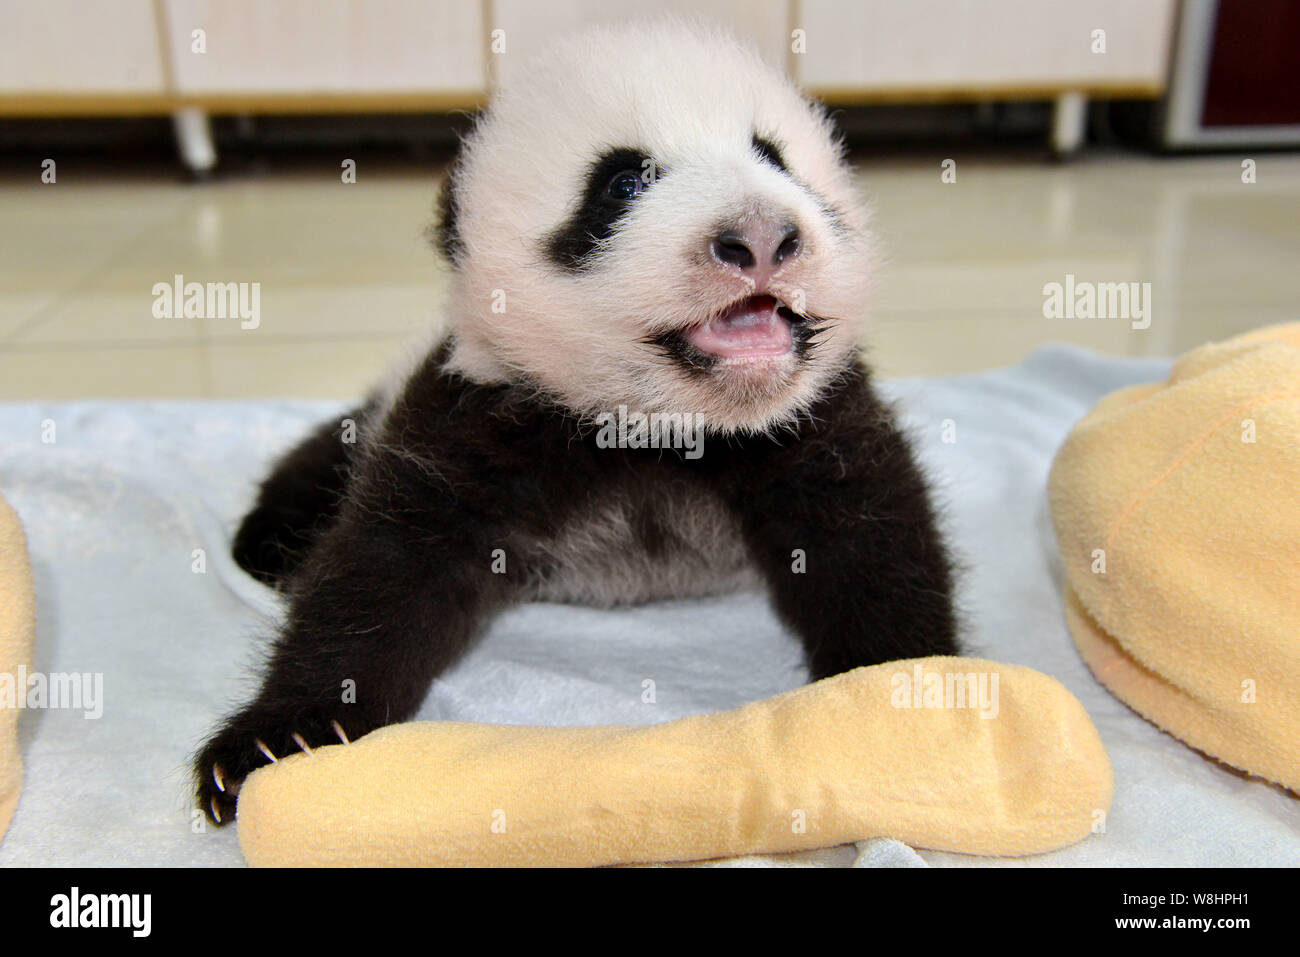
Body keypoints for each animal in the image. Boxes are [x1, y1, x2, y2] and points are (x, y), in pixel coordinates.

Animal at [196, 19, 958, 824]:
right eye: (623, 183)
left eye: (773, 157)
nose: (760, 236)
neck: (661, 424)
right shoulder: (485, 411)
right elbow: (382, 566)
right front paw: (275, 740)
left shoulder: (811, 418)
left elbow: (874, 542)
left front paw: (895, 712)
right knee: (322, 460)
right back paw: (266, 545)